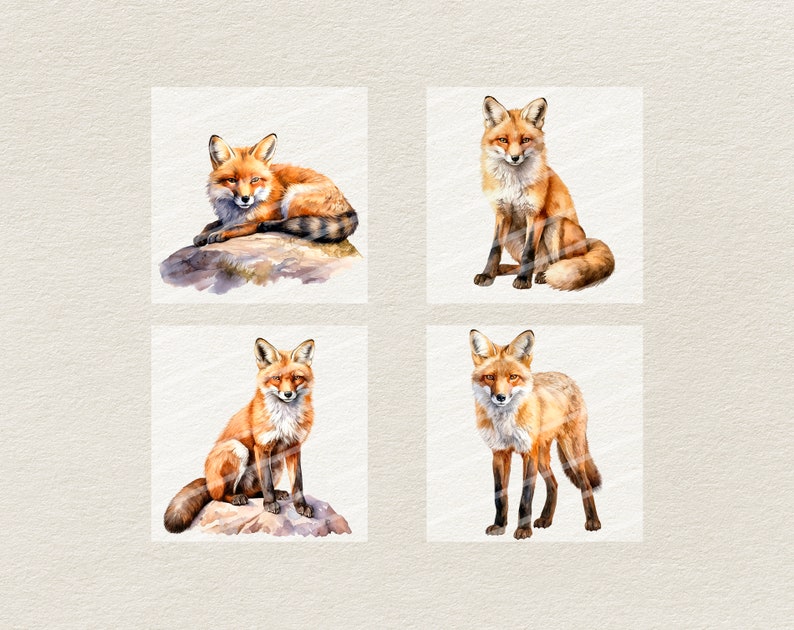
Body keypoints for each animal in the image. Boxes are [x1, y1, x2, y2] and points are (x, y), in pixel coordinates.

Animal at [163, 337, 316, 533]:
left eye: (297, 377)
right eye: (276, 378)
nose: (288, 394)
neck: (285, 417)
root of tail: (207, 480)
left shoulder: (293, 447)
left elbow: (297, 483)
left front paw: (300, 506)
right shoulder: (262, 447)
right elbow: (267, 483)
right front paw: (270, 504)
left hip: (277, 463)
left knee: (254, 492)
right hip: (238, 449)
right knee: (220, 495)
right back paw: (237, 498)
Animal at [192, 134, 358, 247]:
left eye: (255, 180)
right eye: (232, 180)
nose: (245, 198)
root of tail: (347, 204)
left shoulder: (256, 219)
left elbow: (238, 226)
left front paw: (221, 233)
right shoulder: (227, 217)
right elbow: (211, 224)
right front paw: (202, 235)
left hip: (293, 195)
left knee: (290, 221)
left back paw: (269, 225)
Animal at [469, 329, 602, 540]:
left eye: (513, 377)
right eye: (489, 377)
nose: (500, 397)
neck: (505, 423)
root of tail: (568, 378)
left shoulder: (528, 452)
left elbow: (526, 497)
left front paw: (524, 529)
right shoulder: (499, 453)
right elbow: (500, 496)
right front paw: (499, 526)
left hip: (571, 452)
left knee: (585, 483)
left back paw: (593, 521)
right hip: (542, 457)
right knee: (554, 484)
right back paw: (546, 518)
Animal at [474, 96, 615, 291]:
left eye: (525, 140)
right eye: (503, 140)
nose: (515, 158)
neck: (513, 184)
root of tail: (587, 243)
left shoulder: (536, 214)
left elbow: (528, 252)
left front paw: (523, 279)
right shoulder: (502, 213)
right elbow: (494, 250)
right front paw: (488, 274)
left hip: (555, 225)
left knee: (554, 263)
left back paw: (542, 276)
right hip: (512, 235)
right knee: (533, 264)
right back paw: (507, 269)